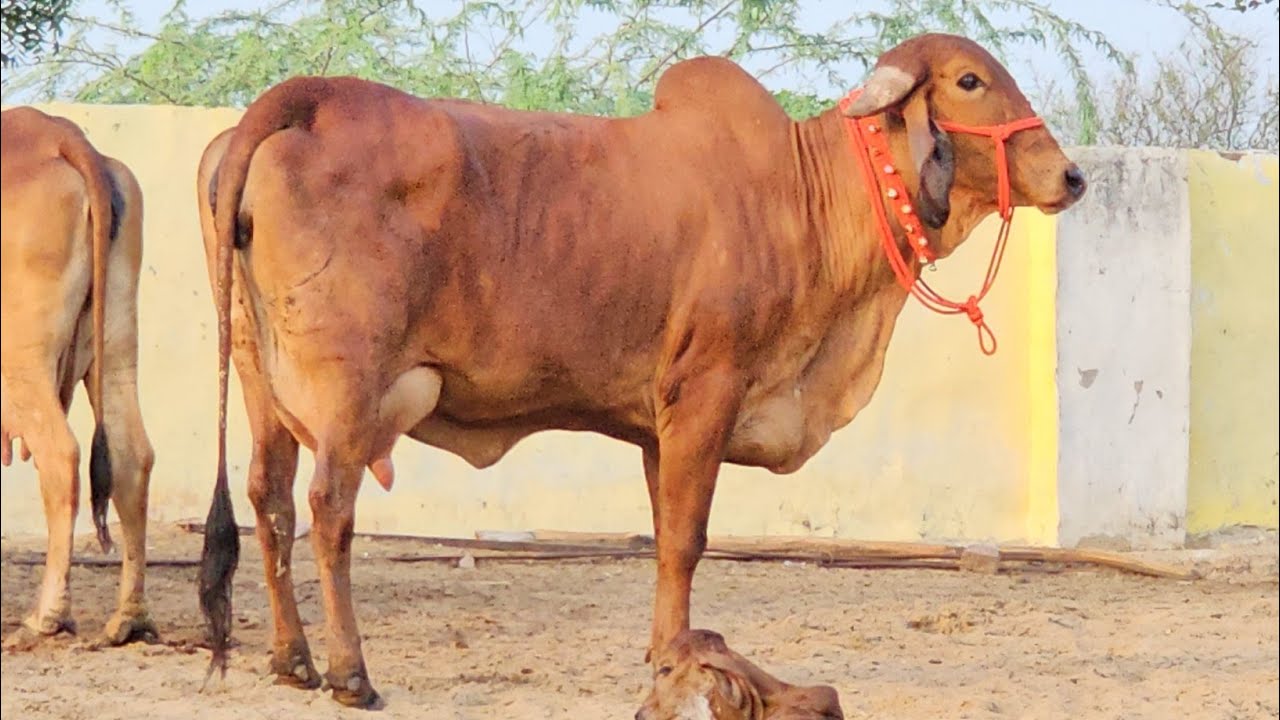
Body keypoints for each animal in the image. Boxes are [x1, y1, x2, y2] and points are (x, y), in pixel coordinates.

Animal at [1, 107, 156, 648]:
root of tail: (56, 134)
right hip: (116, 348)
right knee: (133, 457)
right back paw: (128, 618)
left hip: (22, 360)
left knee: (61, 456)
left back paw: (47, 615)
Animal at [196, 33, 1086, 707]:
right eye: (970, 80)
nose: (1071, 175)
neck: (803, 195)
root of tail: (305, 100)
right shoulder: (706, 393)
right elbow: (686, 540)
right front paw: (673, 657)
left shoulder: (662, 423)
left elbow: (663, 537)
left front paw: (672, 652)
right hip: (347, 386)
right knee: (327, 509)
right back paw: (349, 673)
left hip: (259, 379)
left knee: (269, 500)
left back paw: (292, 660)